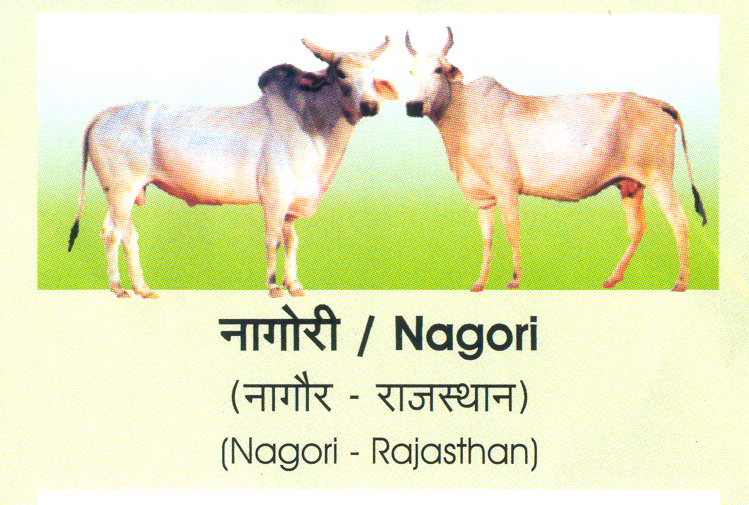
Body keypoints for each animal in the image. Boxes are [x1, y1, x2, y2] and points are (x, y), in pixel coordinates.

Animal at [68, 35, 398, 298]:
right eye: (341, 73)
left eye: (373, 75)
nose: (370, 105)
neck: (312, 127)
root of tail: (108, 112)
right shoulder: (274, 197)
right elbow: (273, 239)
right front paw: (274, 286)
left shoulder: (293, 205)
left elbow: (291, 241)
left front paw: (294, 285)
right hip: (122, 189)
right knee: (114, 233)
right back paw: (119, 288)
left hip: (119, 192)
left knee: (124, 234)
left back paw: (143, 288)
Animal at [404, 27, 707, 292]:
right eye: (411, 72)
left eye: (439, 69)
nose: (413, 106)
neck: (463, 117)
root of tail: (655, 102)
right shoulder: (482, 195)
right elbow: (487, 237)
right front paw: (479, 283)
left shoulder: (506, 187)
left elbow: (512, 230)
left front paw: (514, 280)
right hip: (631, 184)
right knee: (638, 228)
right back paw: (613, 279)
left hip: (659, 177)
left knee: (679, 221)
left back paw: (680, 283)